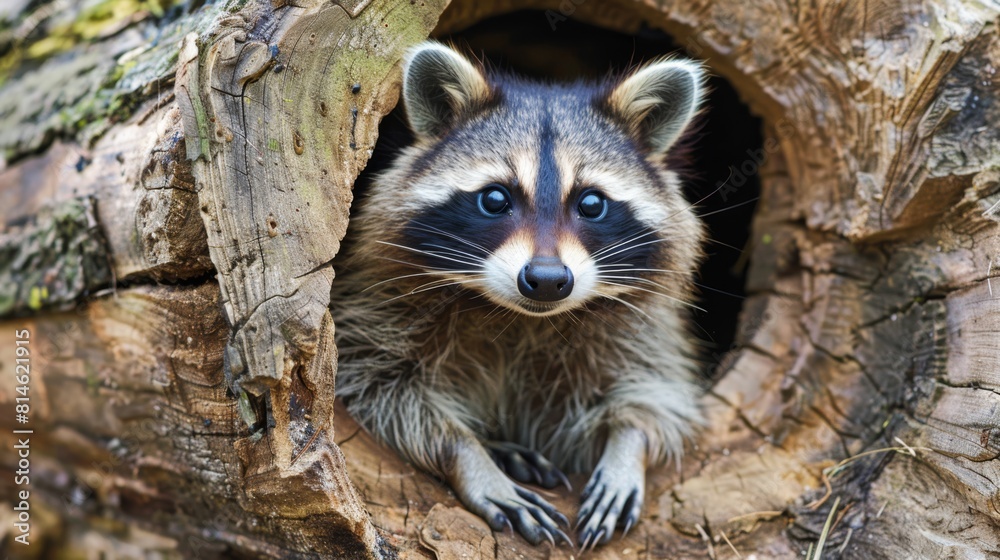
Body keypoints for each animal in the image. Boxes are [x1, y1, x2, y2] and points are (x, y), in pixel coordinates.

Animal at [332, 42, 707, 549]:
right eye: (495, 199)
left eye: (591, 203)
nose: (547, 279)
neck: (523, 317)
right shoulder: (376, 301)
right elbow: (381, 387)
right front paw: (470, 454)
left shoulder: (641, 323)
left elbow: (655, 389)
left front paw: (629, 443)